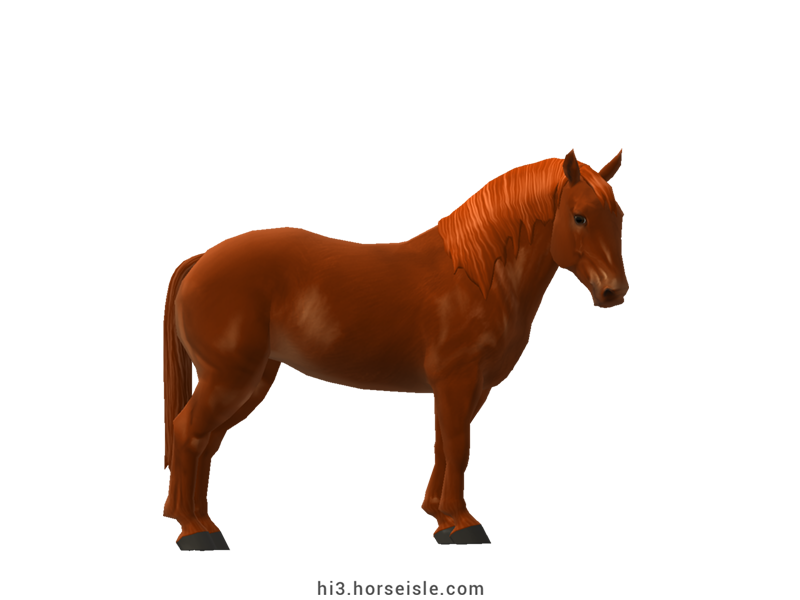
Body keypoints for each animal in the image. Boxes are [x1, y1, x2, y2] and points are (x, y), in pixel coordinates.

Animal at [163, 148, 628, 539]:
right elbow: (458, 444)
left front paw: (438, 513)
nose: (611, 290)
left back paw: (199, 517)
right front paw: (460, 519)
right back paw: (191, 525)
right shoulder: (456, 380)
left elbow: (444, 445)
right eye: (580, 217)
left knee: (203, 441)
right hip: (226, 379)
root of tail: (201, 261)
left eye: (614, 215)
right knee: (188, 433)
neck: (481, 277)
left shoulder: (463, 386)